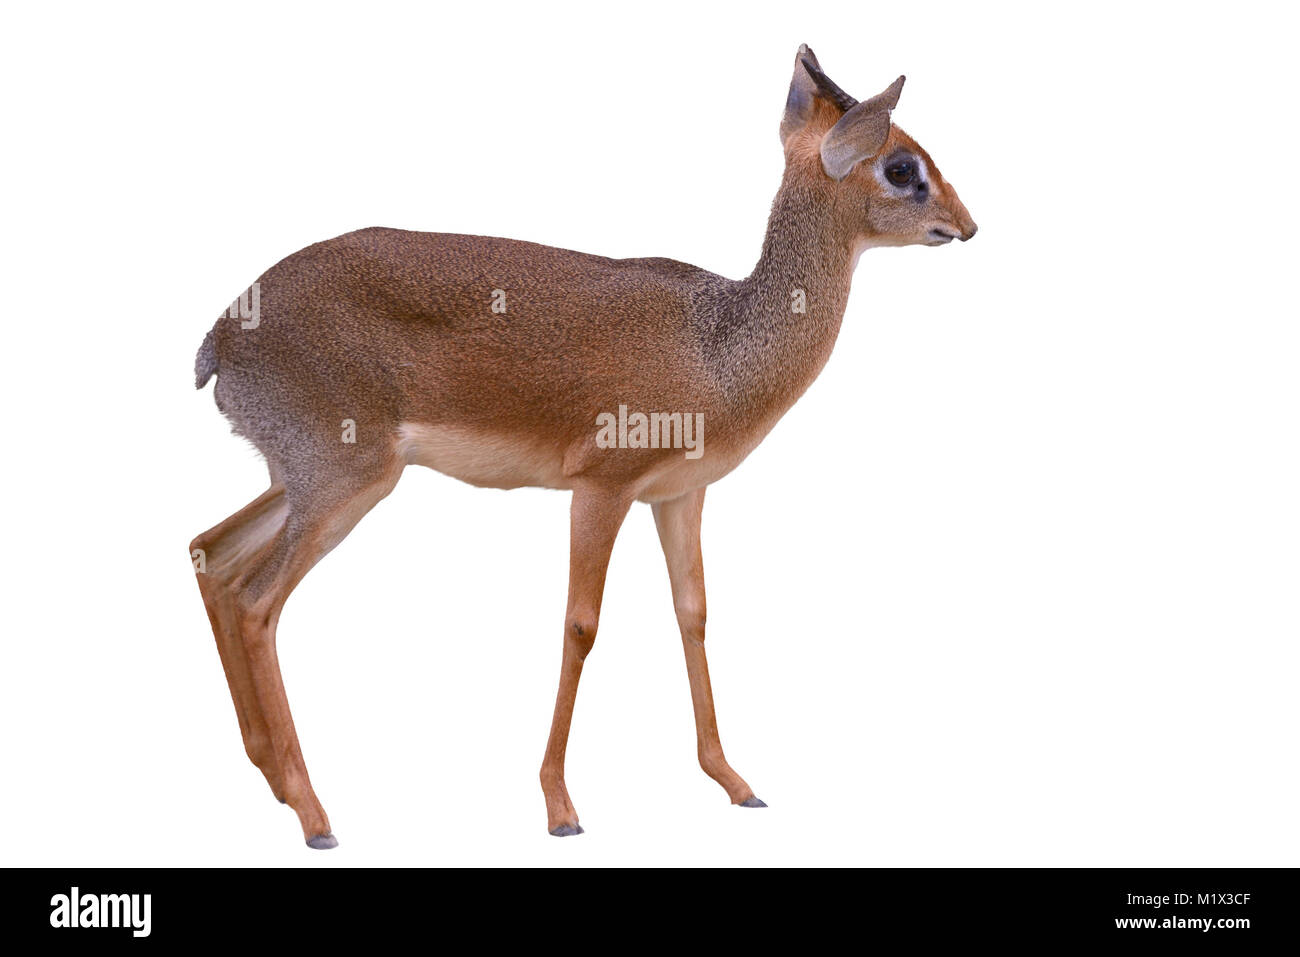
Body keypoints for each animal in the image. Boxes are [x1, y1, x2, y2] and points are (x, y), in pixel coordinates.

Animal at [190, 44, 977, 849]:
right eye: (903, 166)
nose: (967, 224)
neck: (718, 347)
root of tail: (220, 337)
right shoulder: (600, 487)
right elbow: (581, 625)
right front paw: (560, 806)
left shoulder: (680, 493)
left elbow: (693, 612)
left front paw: (734, 782)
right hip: (345, 481)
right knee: (256, 601)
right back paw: (315, 814)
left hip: (302, 479)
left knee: (212, 554)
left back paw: (273, 778)